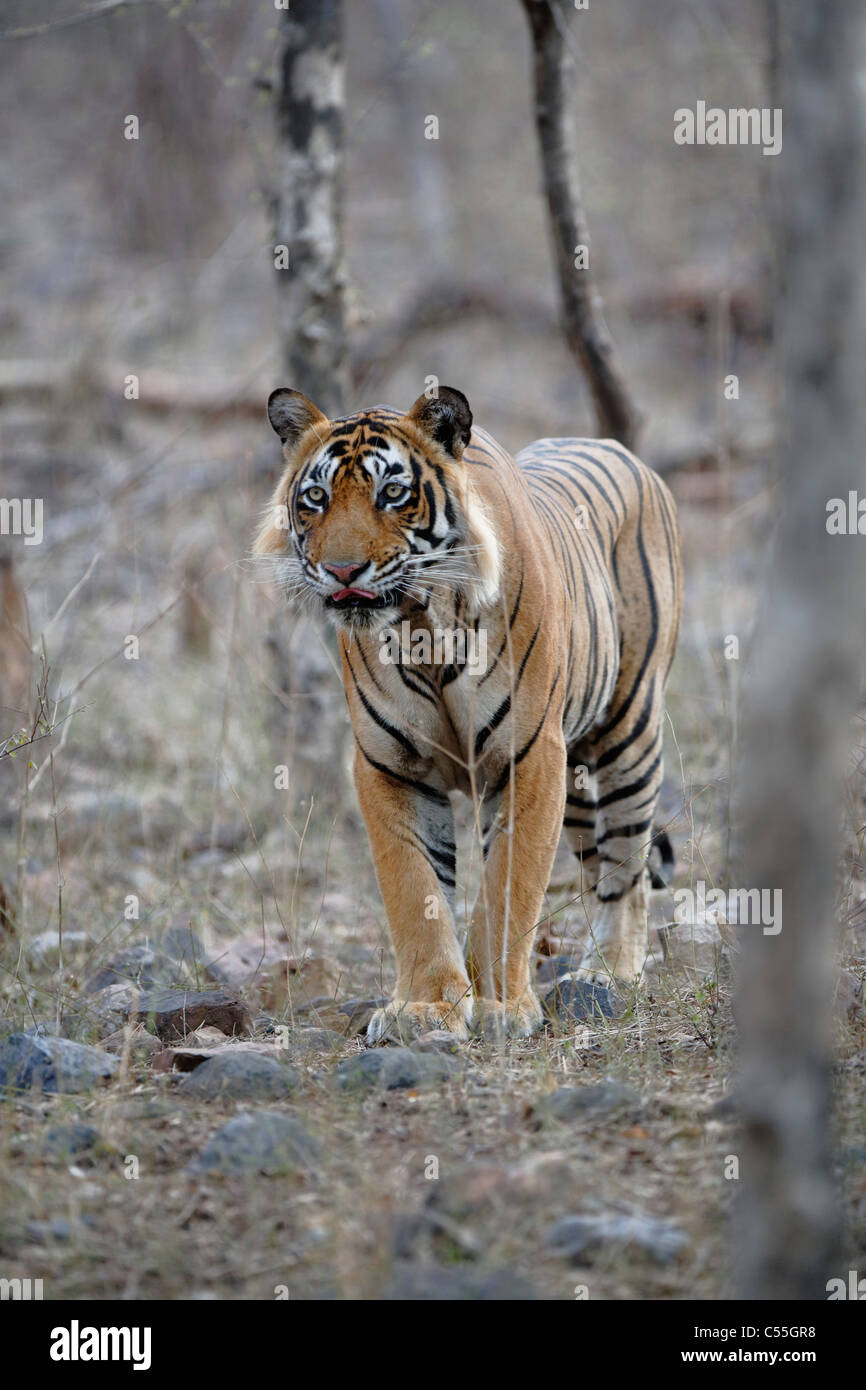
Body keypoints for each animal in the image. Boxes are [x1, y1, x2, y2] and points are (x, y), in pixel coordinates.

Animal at [255, 385, 682, 1042]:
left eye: (392, 493)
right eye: (316, 498)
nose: (342, 571)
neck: (421, 625)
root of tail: (621, 451)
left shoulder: (530, 758)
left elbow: (510, 887)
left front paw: (503, 1007)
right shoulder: (390, 767)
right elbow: (416, 891)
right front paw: (425, 1008)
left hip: (626, 738)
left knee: (626, 873)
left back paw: (607, 973)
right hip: (578, 781)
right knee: (596, 865)